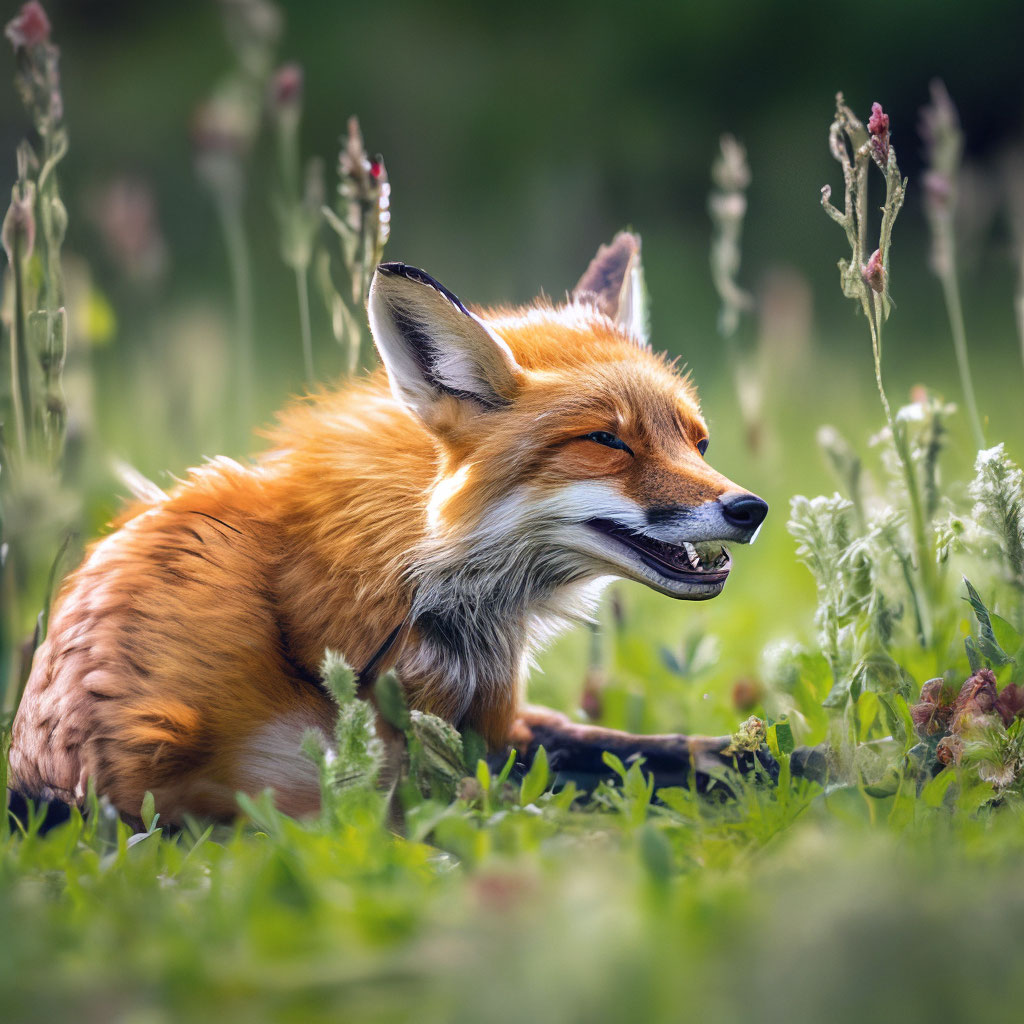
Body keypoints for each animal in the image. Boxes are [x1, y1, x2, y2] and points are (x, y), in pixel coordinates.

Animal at [7, 232, 768, 824]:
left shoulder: (498, 730)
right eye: (608, 441)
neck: (412, 571)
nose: (750, 509)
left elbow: (701, 751)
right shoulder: (392, 768)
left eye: (697, 442)